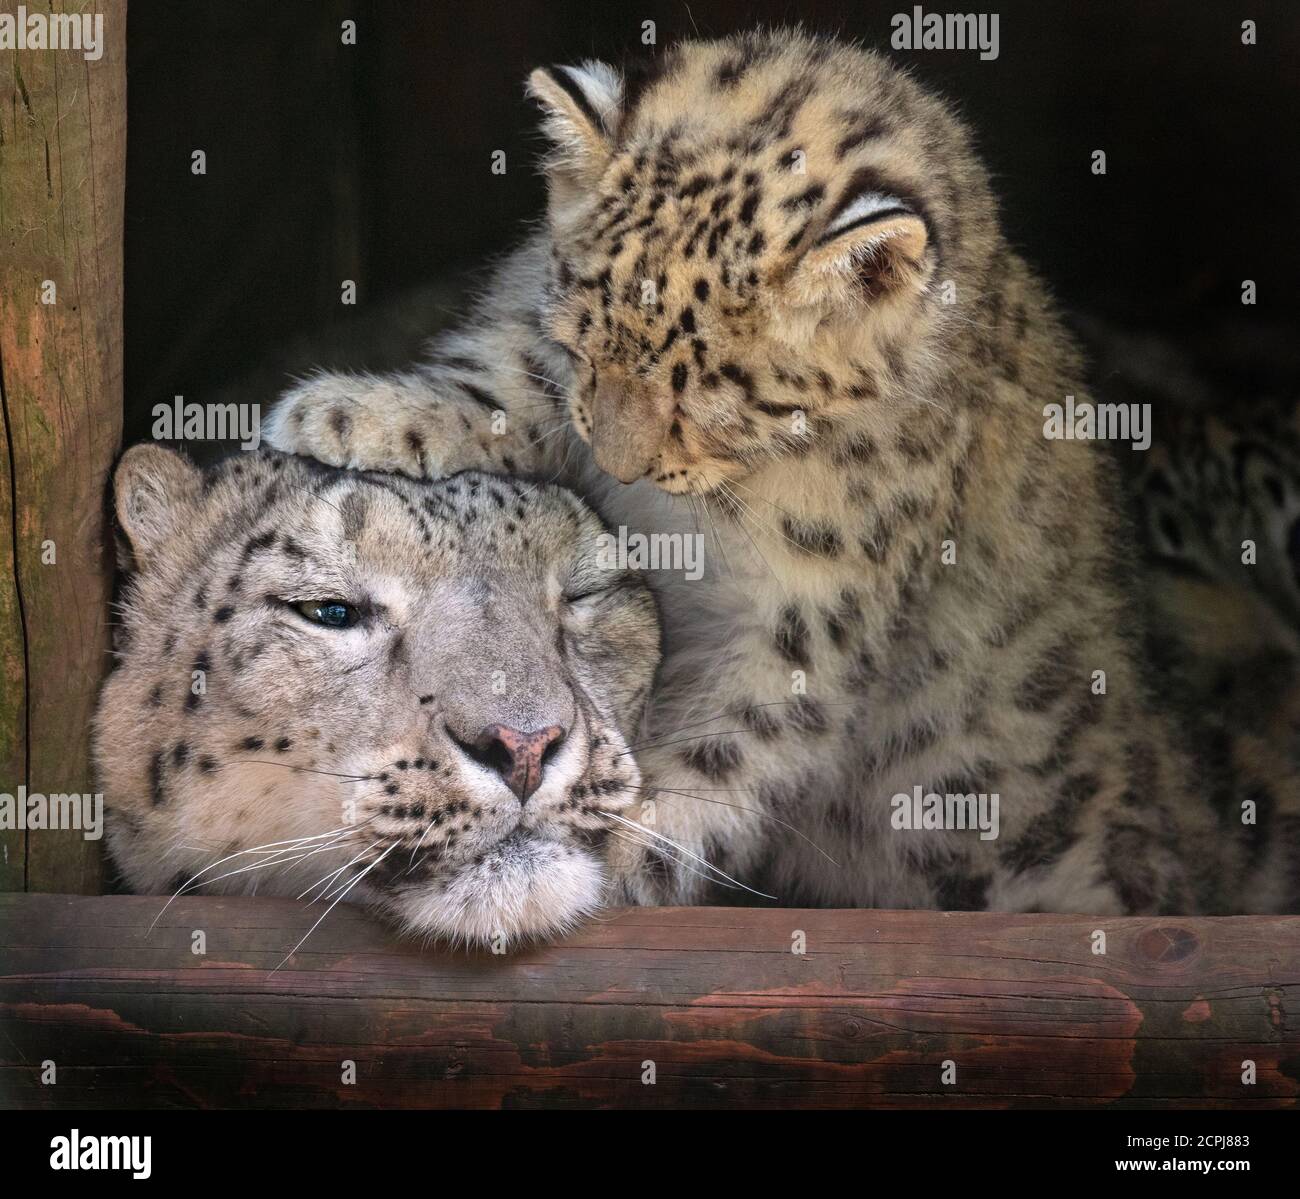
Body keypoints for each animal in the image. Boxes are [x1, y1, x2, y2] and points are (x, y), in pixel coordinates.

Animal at [261, 28, 1296, 915]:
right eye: (585, 345)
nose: (618, 460)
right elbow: (500, 377)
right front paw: (344, 410)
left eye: (721, 393)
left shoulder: (804, 621)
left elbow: (726, 751)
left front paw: (597, 851)